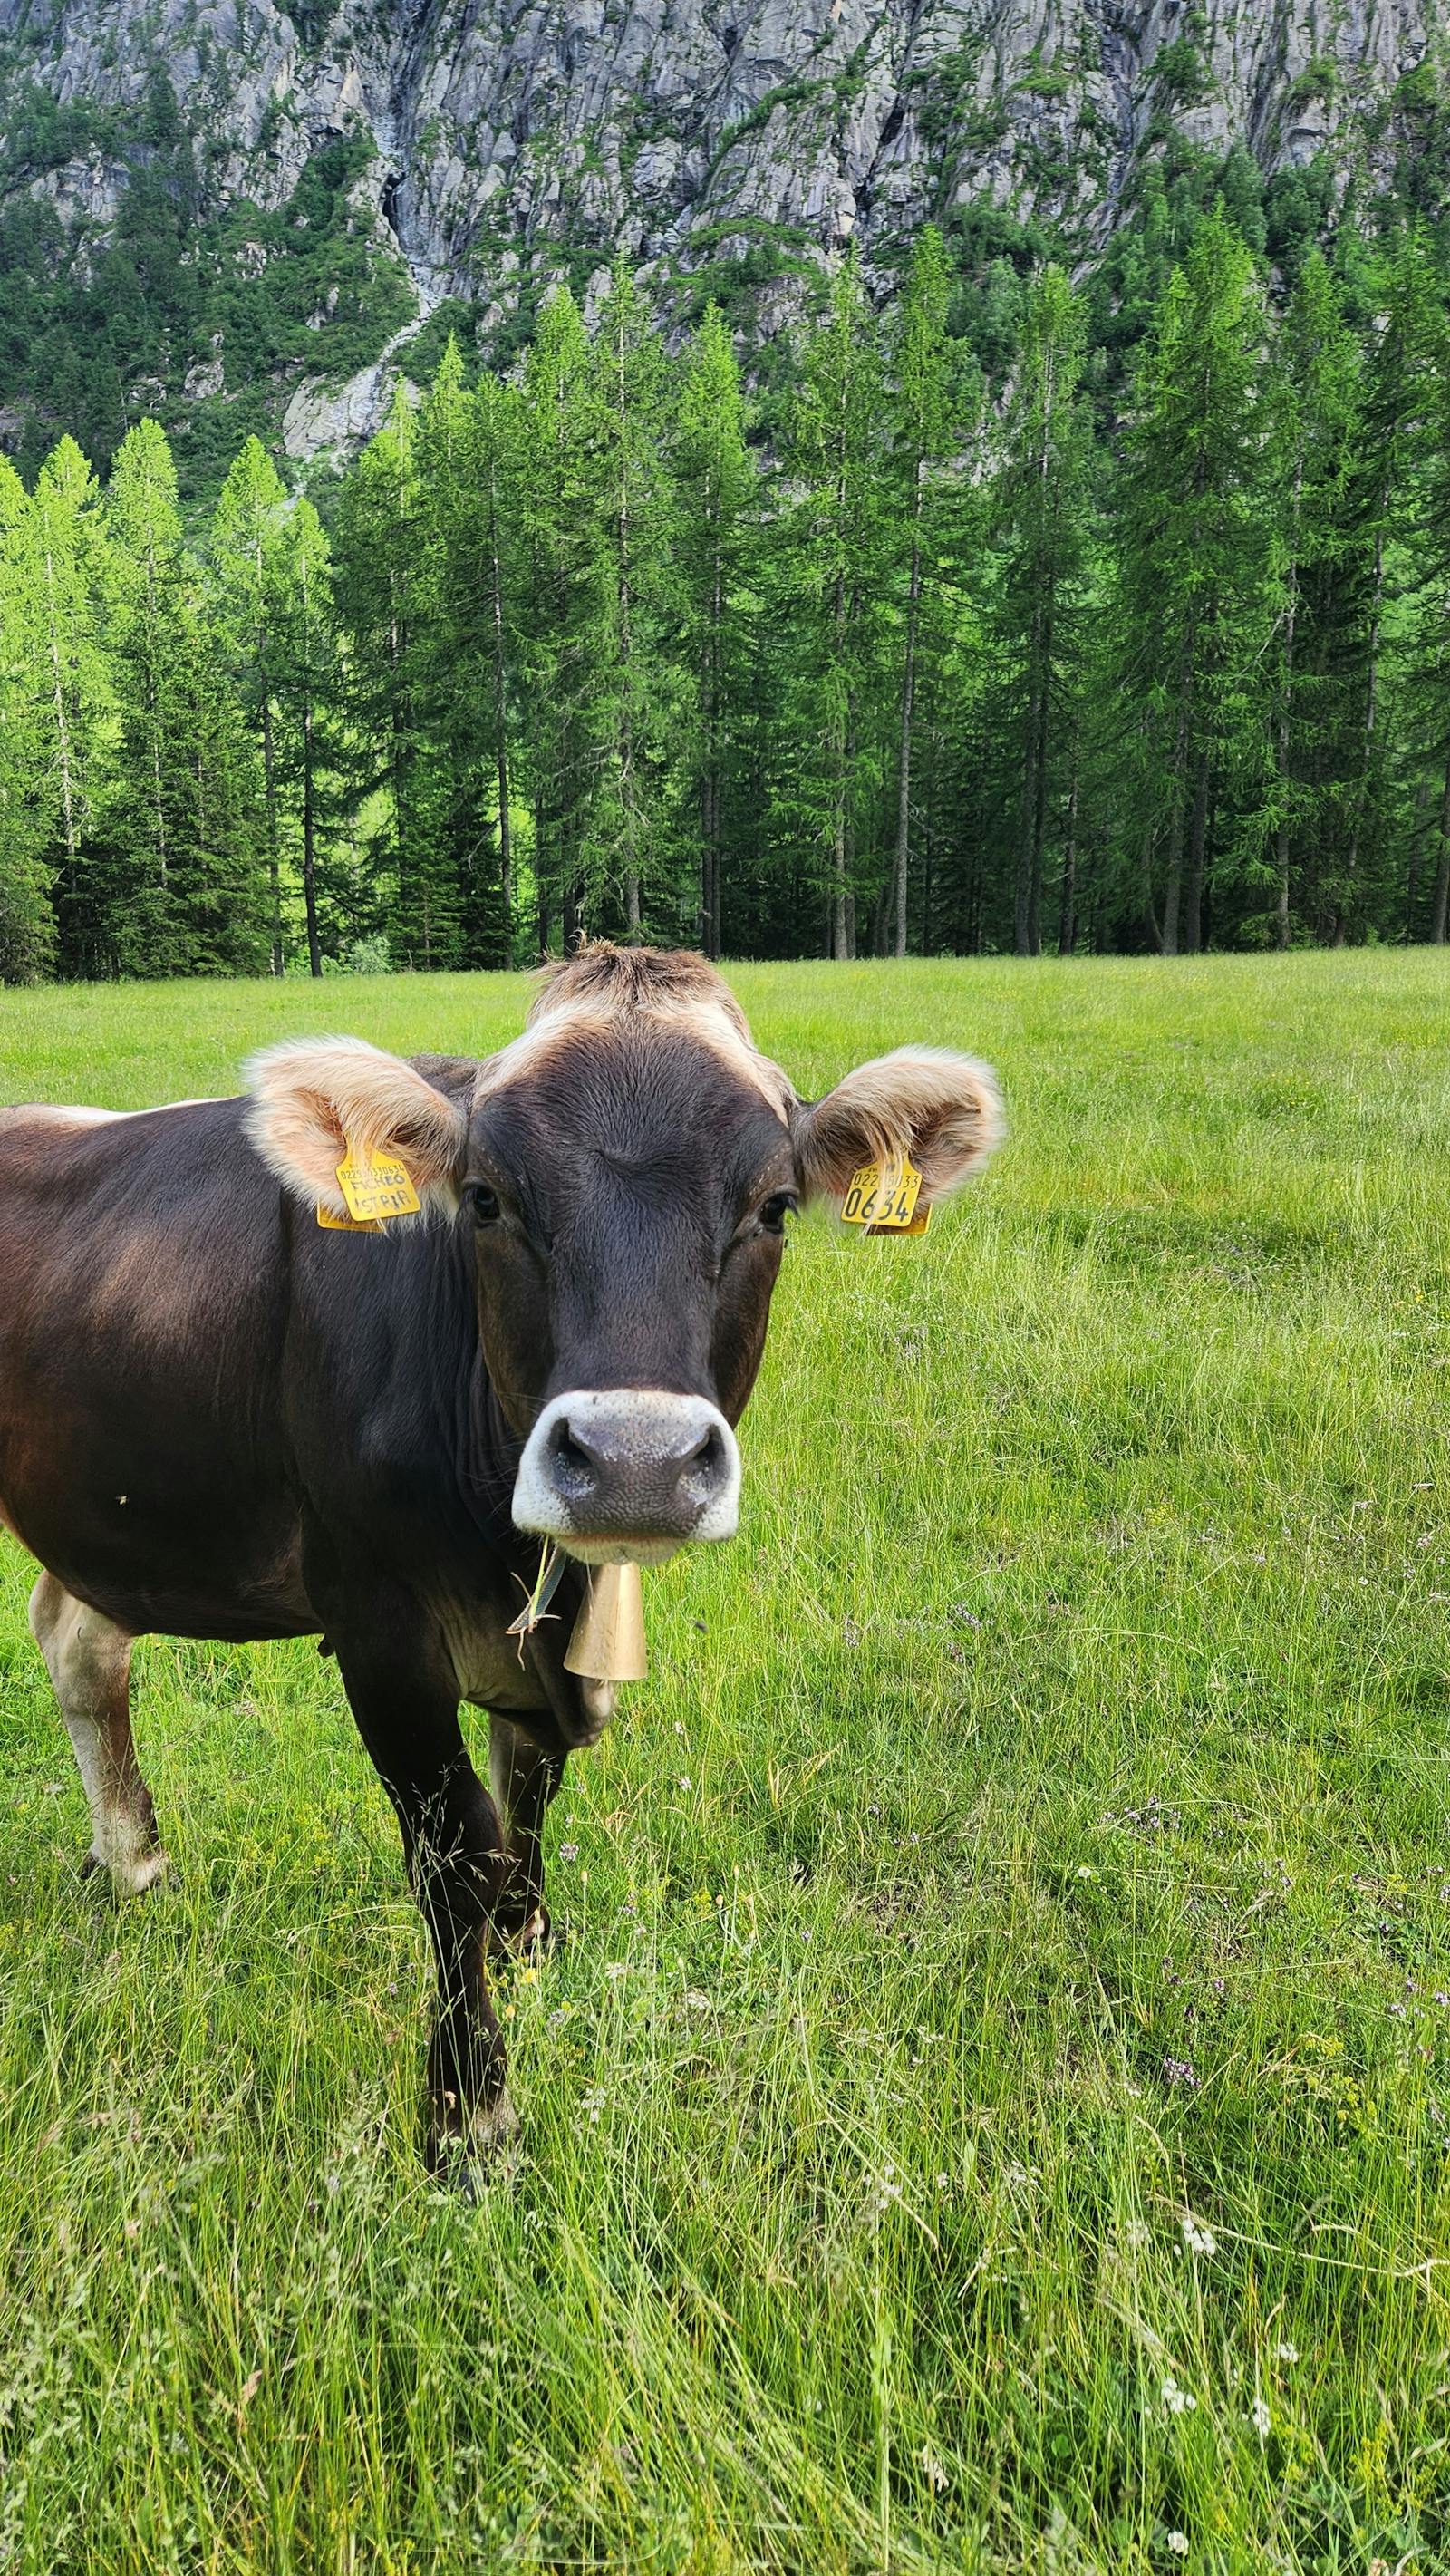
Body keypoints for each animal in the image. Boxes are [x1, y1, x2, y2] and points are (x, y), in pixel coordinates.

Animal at [0, 945, 1000, 2187]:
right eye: (485, 1198)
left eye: (771, 1208)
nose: (633, 1460)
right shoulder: (377, 1621)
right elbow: (452, 1848)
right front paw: (468, 2112)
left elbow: (532, 1781)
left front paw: (527, 1939)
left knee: (78, 1636)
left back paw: (130, 1859)